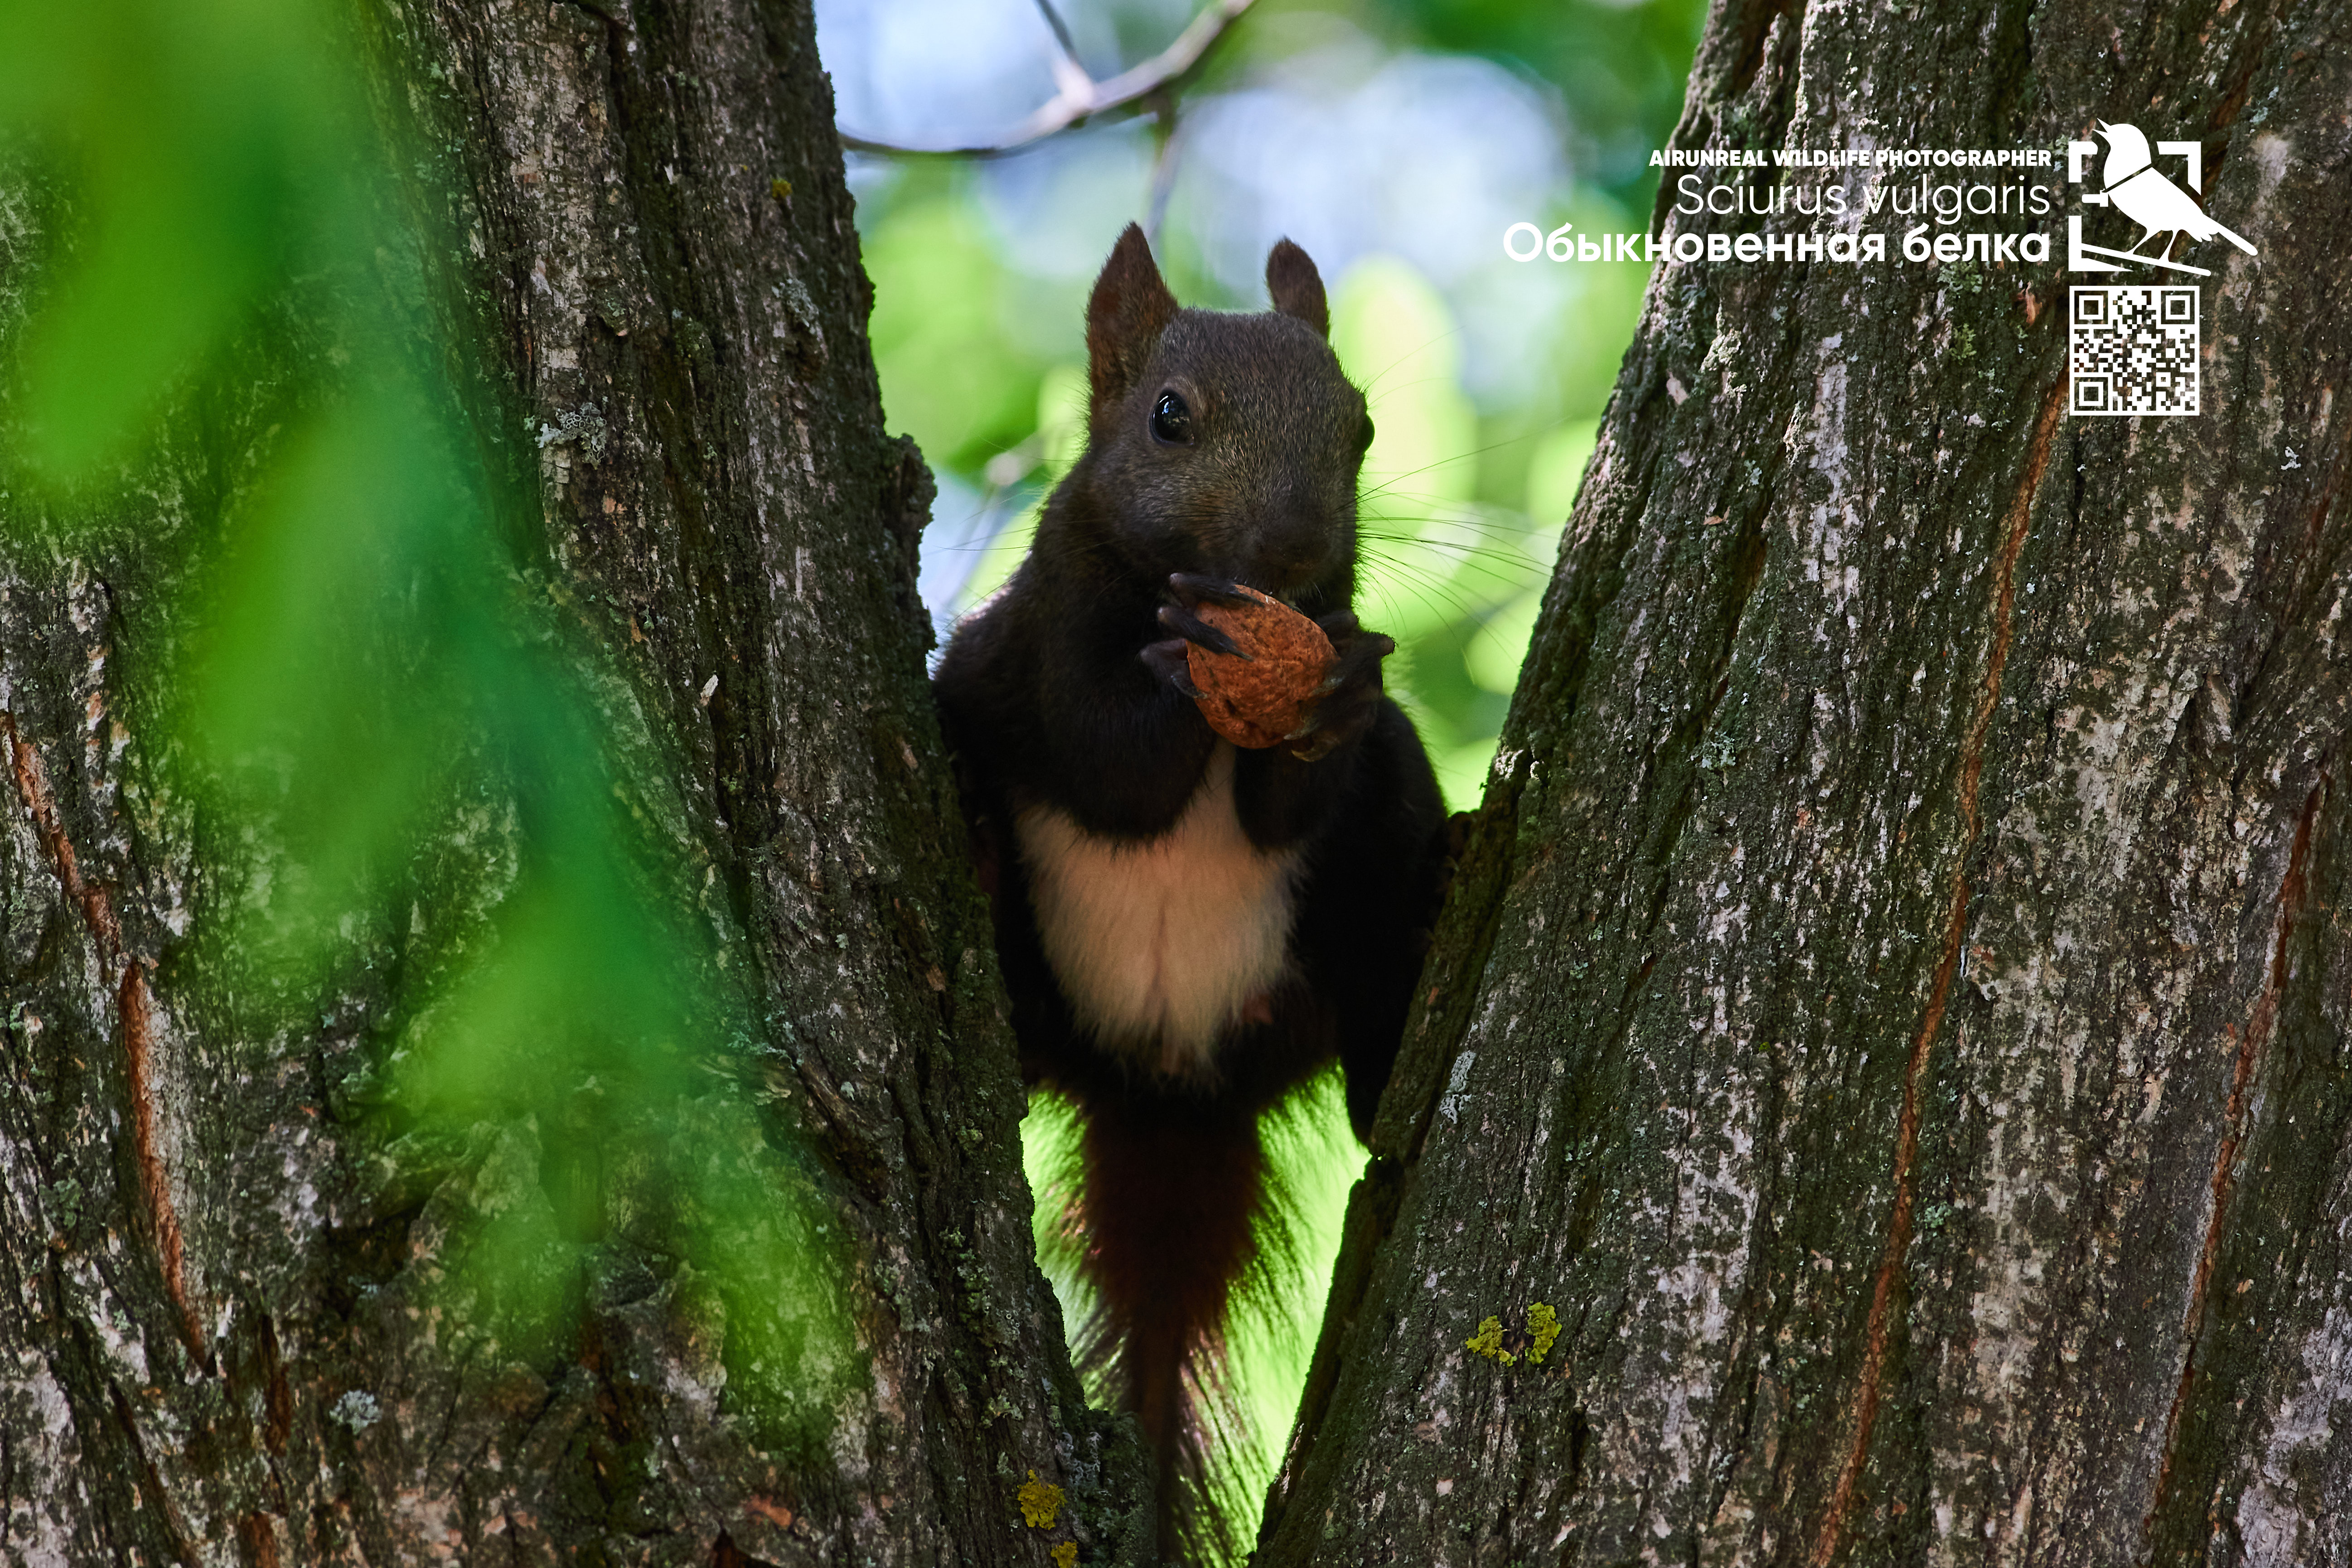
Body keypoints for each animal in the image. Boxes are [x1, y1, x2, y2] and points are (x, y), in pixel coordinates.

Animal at [926, 221, 1439, 1561]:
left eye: (1363, 427)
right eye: (1168, 417)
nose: (1297, 551)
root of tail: (1167, 1089)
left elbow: (1289, 801)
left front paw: (1329, 693)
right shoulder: (1048, 631)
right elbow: (1109, 768)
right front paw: (1184, 664)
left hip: (1341, 931)